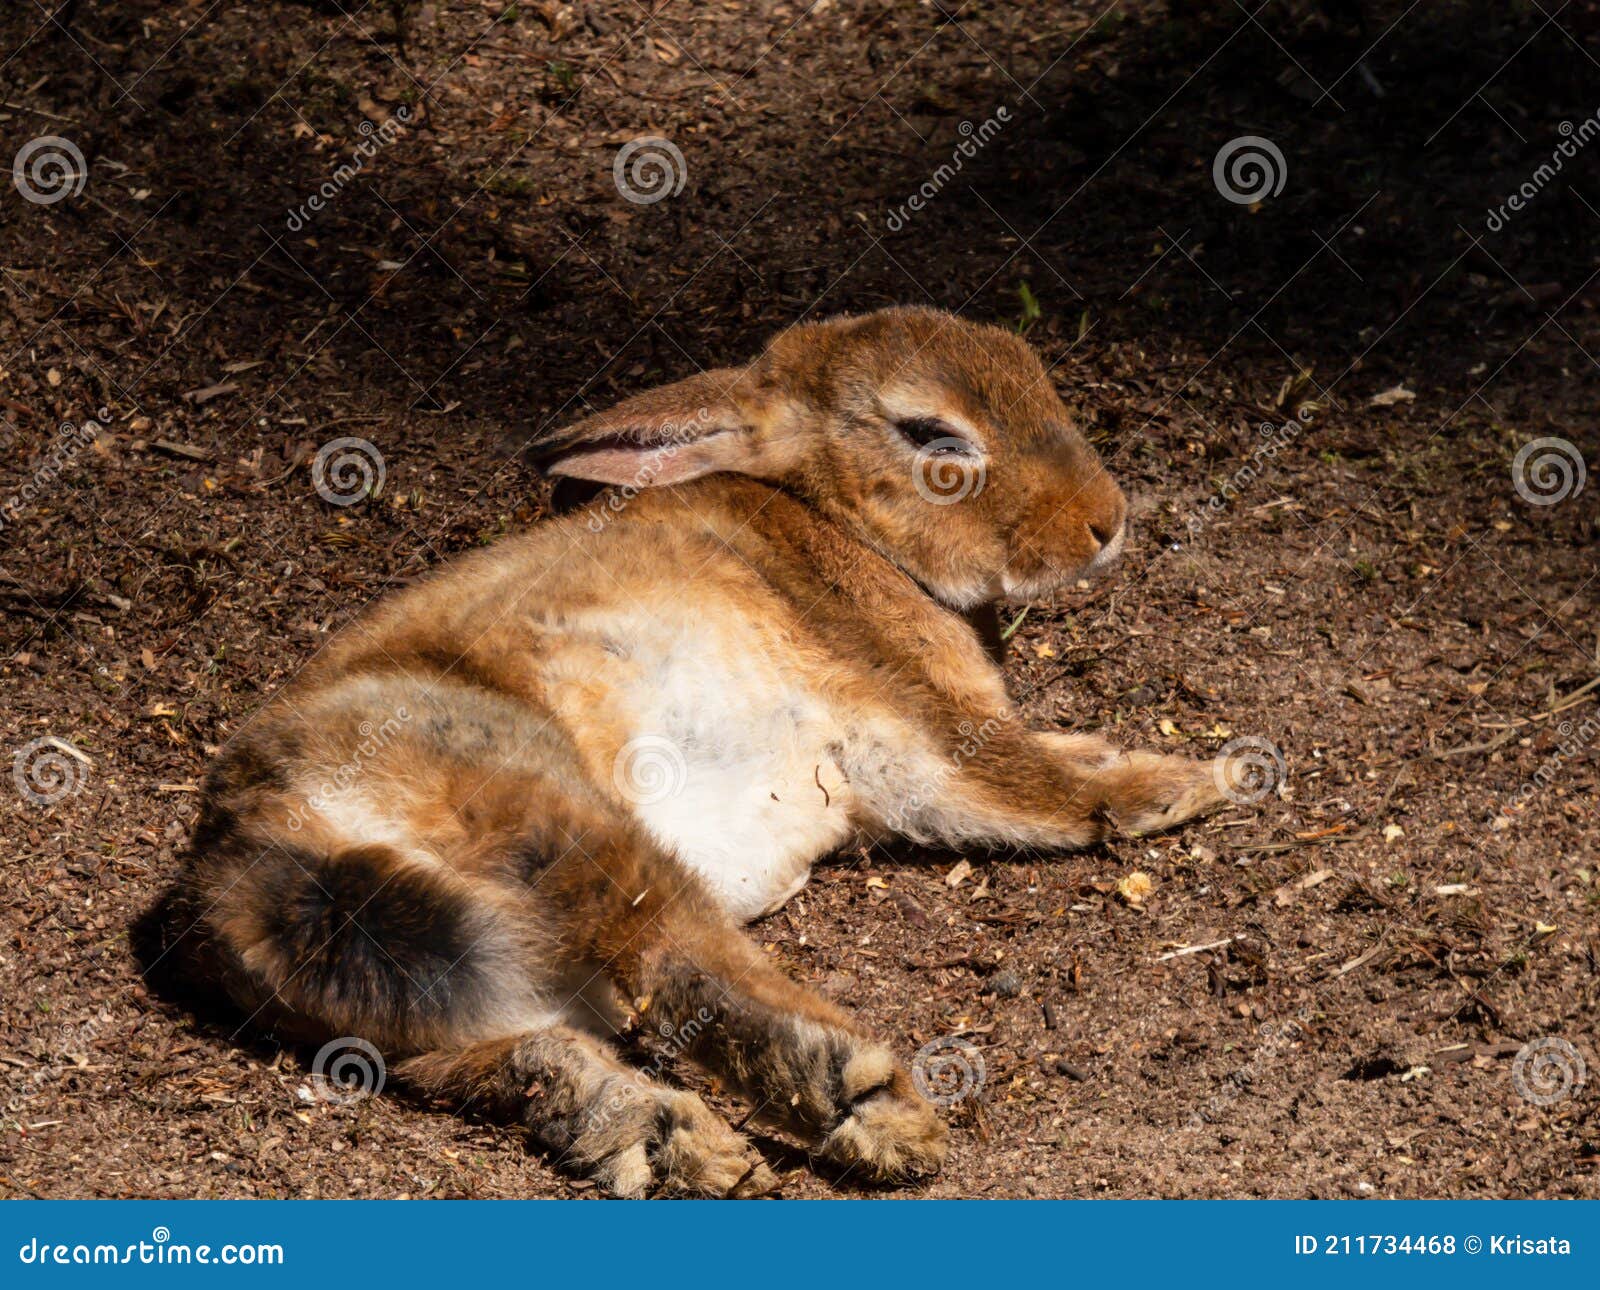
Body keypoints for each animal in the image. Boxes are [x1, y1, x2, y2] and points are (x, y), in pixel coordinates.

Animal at [163, 305, 1230, 1198]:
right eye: (932, 437)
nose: (1107, 522)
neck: (844, 530)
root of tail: (249, 857)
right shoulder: (915, 727)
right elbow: (1042, 788)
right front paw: (1203, 781)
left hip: (447, 1001)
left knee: (535, 1058)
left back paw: (676, 1143)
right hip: (551, 814)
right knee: (677, 955)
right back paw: (869, 1105)